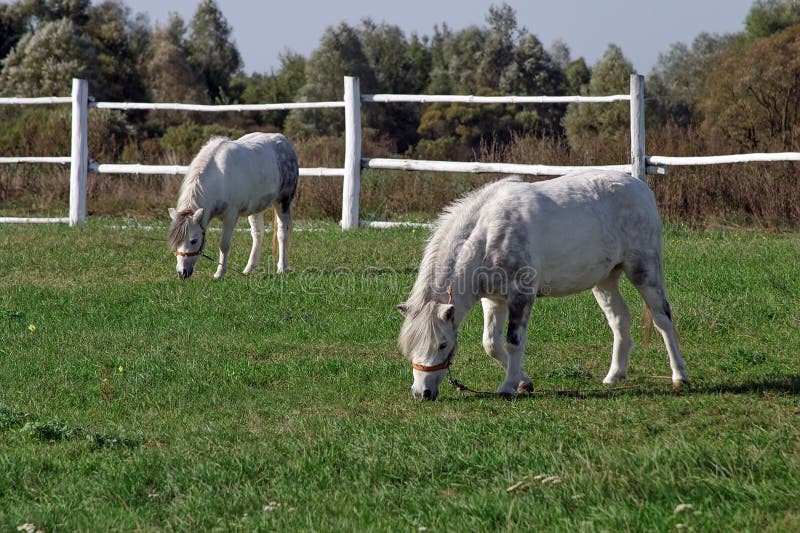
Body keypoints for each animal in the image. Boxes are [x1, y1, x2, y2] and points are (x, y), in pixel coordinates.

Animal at [167, 132, 298, 280]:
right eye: (175, 241)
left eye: (193, 240)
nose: (182, 272)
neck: (219, 178)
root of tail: (285, 142)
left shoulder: (230, 216)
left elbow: (224, 245)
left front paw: (219, 273)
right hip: (256, 207)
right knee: (258, 234)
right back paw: (248, 269)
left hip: (284, 200)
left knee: (282, 233)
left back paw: (282, 267)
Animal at [397, 170, 688, 401]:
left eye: (442, 345)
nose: (422, 393)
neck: (487, 235)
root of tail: (640, 186)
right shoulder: (493, 299)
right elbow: (491, 344)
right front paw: (524, 382)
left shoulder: (521, 294)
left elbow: (513, 341)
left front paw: (508, 386)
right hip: (605, 279)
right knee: (619, 319)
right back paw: (614, 375)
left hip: (644, 270)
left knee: (662, 318)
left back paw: (679, 376)